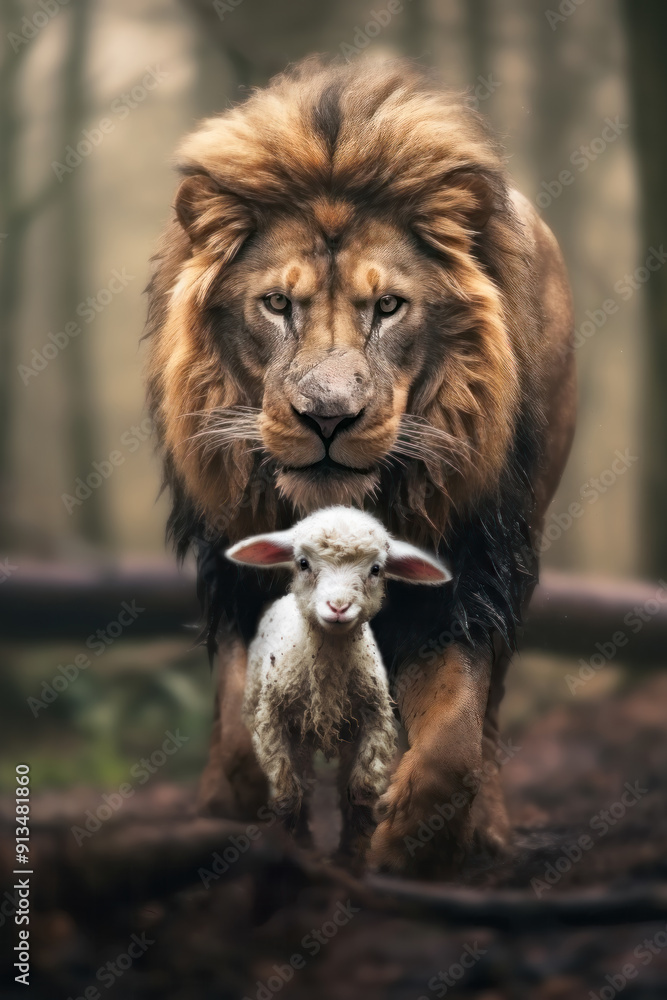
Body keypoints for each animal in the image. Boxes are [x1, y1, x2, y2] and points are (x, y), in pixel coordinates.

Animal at [225, 506, 452, 857]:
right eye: (303, 563)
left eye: (376, 569)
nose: (338, 607)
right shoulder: (271, 721)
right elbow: (288, 796)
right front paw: (292, 847)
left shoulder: (376, 719)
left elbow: (360, 792)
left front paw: (354, 854)